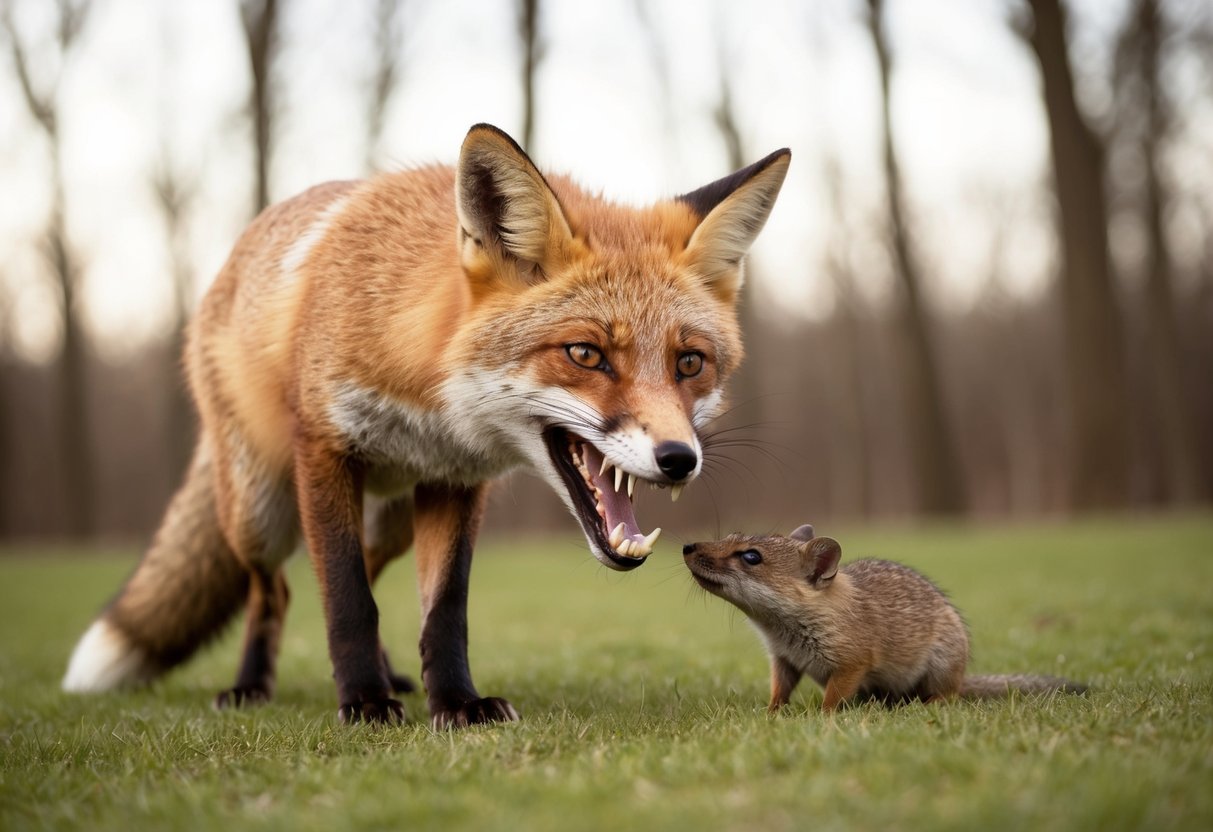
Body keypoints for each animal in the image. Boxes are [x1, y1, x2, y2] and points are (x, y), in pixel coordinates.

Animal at [62, 123, 792, 727]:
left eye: (689, 362)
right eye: (586, 354)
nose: (679, 459)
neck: (435, 405)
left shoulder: (454, 481)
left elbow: (441, 608)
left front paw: (457, 704)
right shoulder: (324, 451)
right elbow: (345, 598)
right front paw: (361, 702)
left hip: (388, 523)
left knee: (358, 570)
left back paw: (389, 674)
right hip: (259, 510)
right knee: (275, 590)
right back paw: (252, 687)